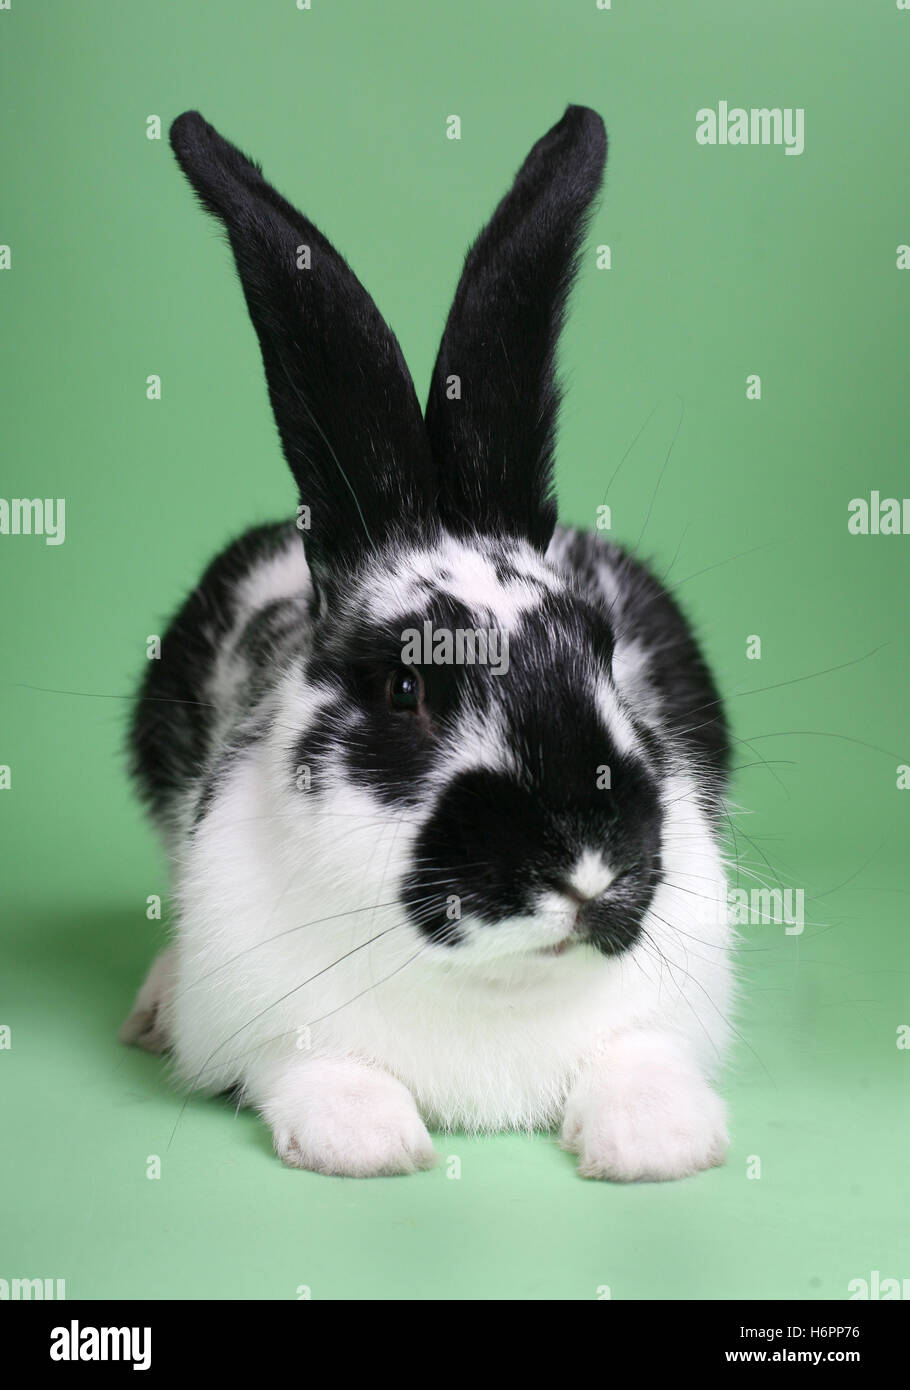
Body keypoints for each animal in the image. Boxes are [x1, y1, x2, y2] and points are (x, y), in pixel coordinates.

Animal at [121, 106, 734, 1181]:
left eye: (601, 647)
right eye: (406, 690)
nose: (587, 864)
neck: (498, 987)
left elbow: (639, 1054)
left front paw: (656, 1142)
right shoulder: (267, 1016)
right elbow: (309, 1066)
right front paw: (365, 1139)